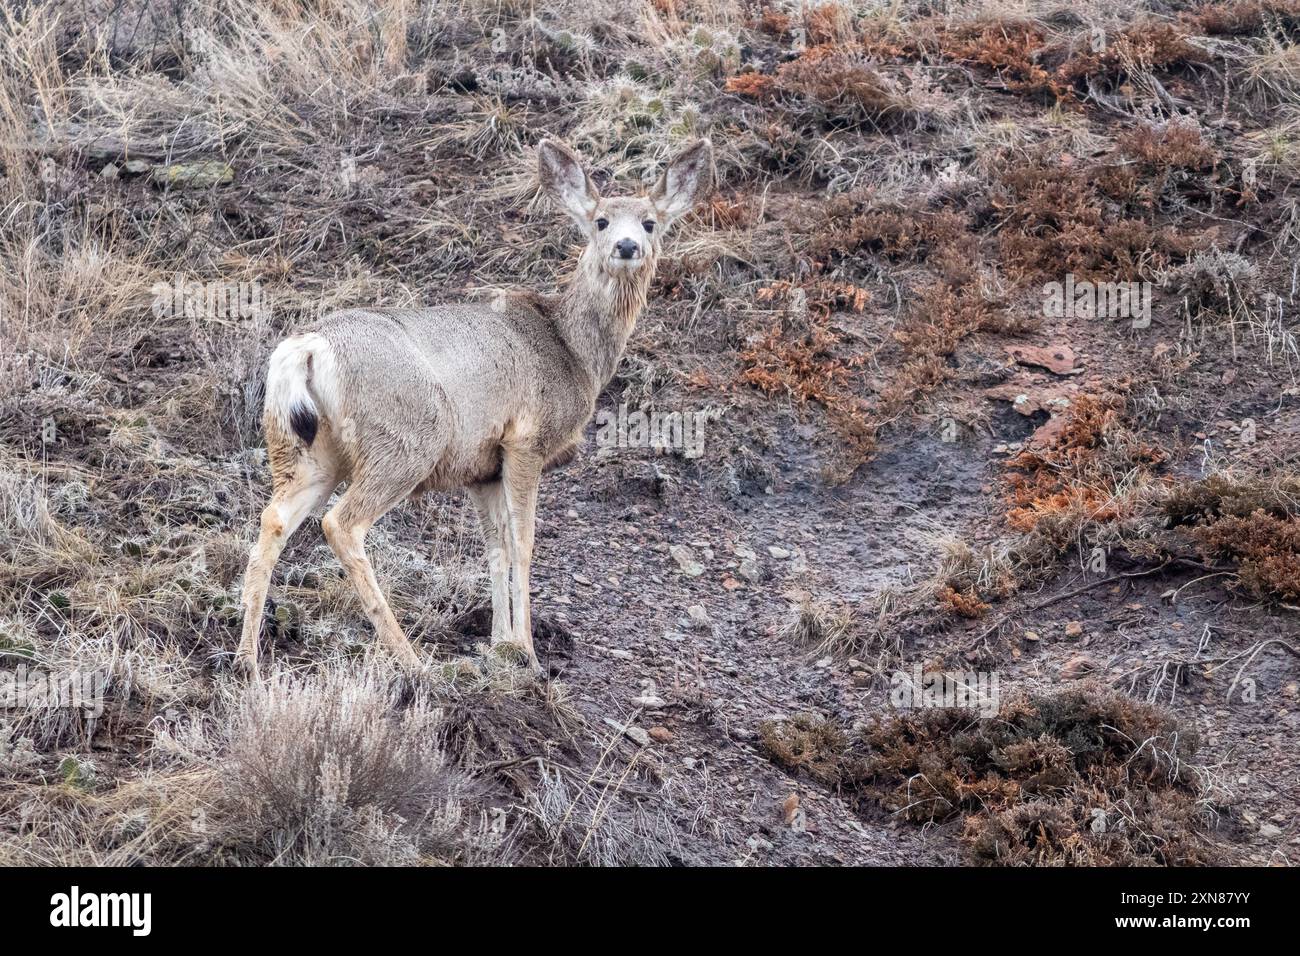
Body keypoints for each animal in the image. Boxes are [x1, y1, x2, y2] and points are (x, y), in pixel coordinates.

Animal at [236, 137, 714, 678]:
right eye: (601, 221)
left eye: (650, 222)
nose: (628, 246)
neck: (570, 348)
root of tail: (310, 347)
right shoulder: (525, 440)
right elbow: (524, 543)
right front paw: (528, 652)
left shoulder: (481, 468)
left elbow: (496, 548)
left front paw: (500, 643)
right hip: (407, 438)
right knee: (342, 523)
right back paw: (409, 656)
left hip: (304, 449)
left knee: (273, 519)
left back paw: (247, 659)